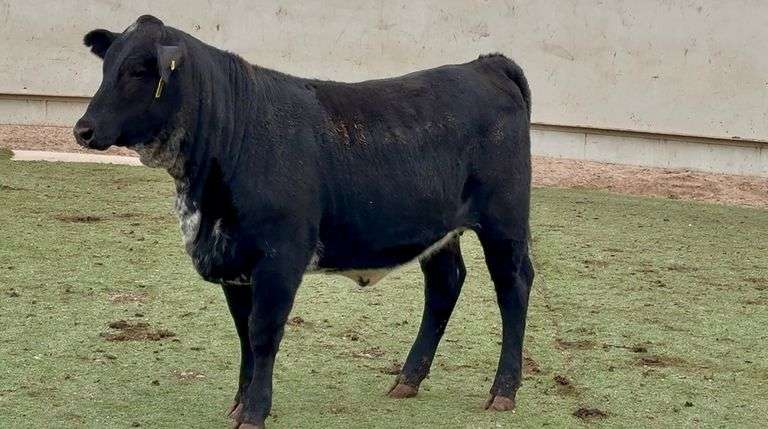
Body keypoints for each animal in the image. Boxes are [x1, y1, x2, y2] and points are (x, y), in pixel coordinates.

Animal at [74, 15, 534, 428]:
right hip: (438, 231)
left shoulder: (279, 258)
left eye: (138, 71)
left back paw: (503, 391)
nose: (83, 129)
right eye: (106, 65)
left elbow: (263, 334)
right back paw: (407, 379)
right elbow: (244, 335)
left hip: (505, 221)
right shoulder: (233, 261)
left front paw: (255, 413)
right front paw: (239, 405)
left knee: (513, 286)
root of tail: (483, 65)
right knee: (444, 284)